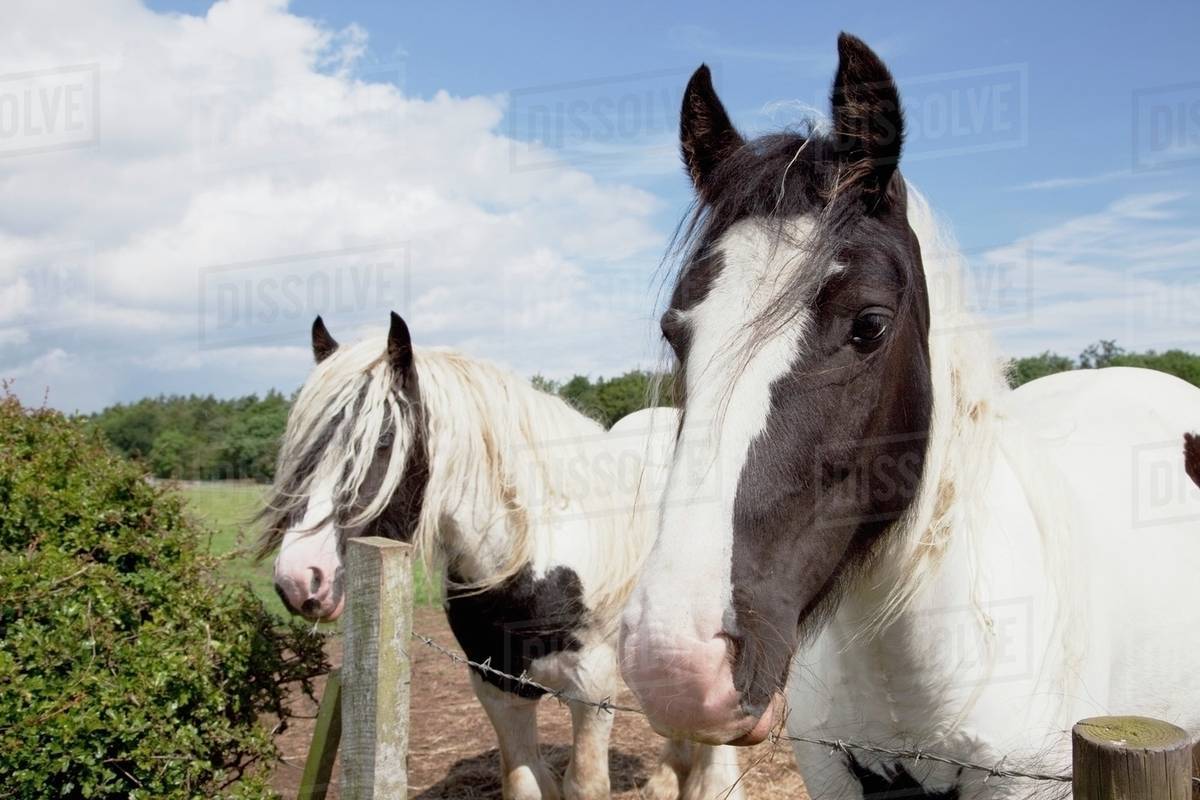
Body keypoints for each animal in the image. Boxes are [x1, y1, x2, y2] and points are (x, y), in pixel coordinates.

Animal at [258, 312, 747, 800]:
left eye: (383, 439)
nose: (300, 578)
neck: (530, 560)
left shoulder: (592, 685)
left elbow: (584, 784)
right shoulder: (496, 682)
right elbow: (523, 782)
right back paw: (667, 778)